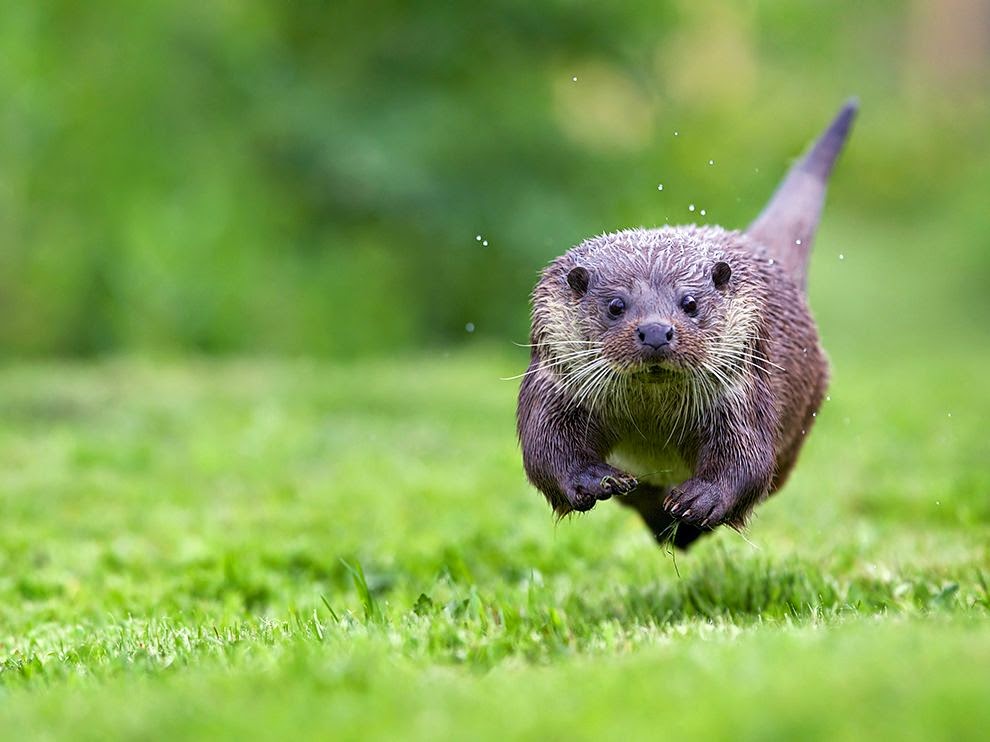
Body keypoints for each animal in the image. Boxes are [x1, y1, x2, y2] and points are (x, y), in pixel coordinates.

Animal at [517, 101, 857, 550]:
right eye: (616, 305)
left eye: (689, 303)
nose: (656, 331)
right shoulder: (553, 382)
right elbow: (544, 447)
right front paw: (593, 480)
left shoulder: (742, 393)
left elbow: (745, 458)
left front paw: (700, 502)